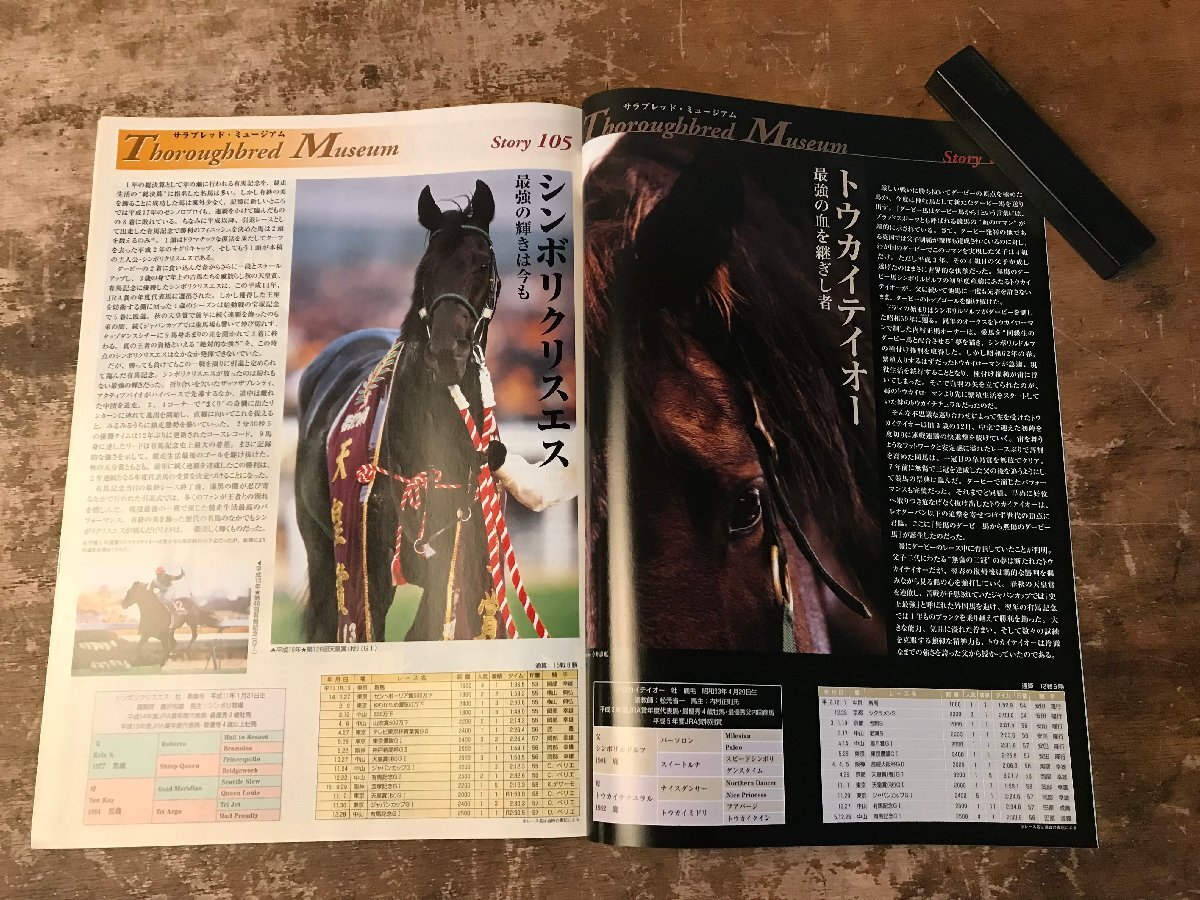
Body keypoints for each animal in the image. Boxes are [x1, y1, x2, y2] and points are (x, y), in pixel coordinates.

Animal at [295, 179, 502, 643]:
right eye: (426, 269)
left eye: (482, 264)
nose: (446, 353)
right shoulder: (369, 571)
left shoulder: (459, 567)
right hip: (321, 549)